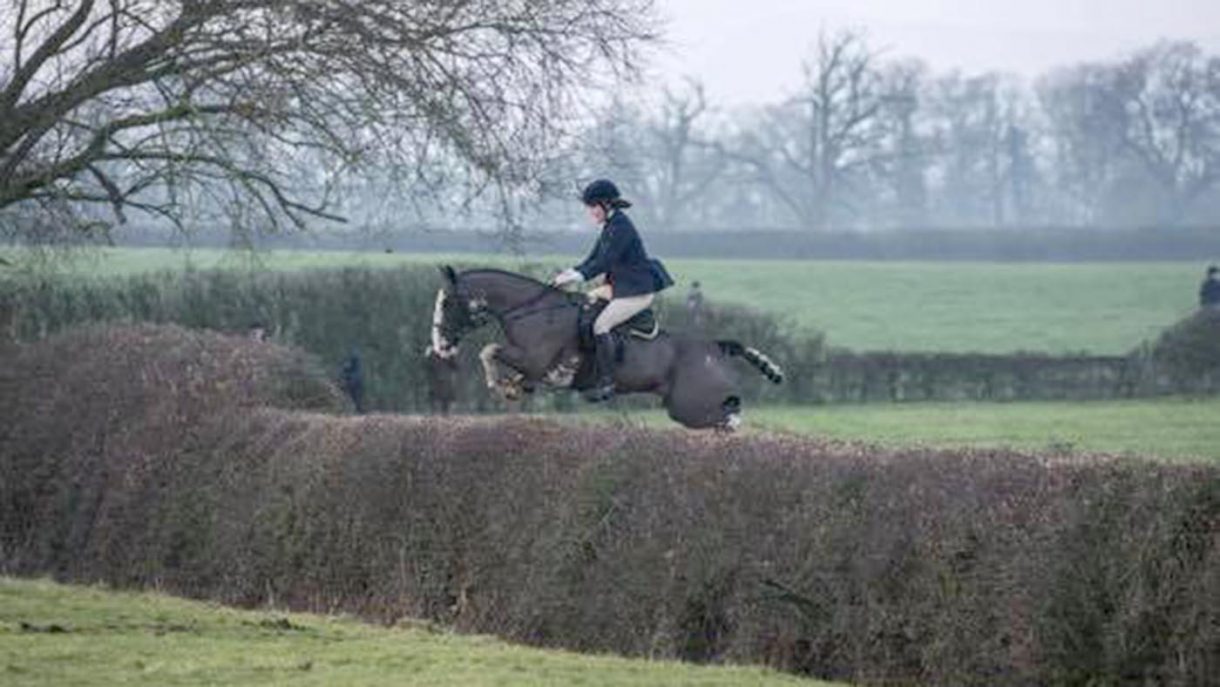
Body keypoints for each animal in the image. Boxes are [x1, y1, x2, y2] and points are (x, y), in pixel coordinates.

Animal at [428, 266, 784, 430]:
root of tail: (714, 345)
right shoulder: (533, 369)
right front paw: (511, 388)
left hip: (691, 405)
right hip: (689, 406)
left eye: (447, 304)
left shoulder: (534, 360)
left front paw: (498, 385)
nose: (440, 346)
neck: (533, 311)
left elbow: (488, 350)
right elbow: (504, 364)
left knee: (728, 416)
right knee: (729, 411)